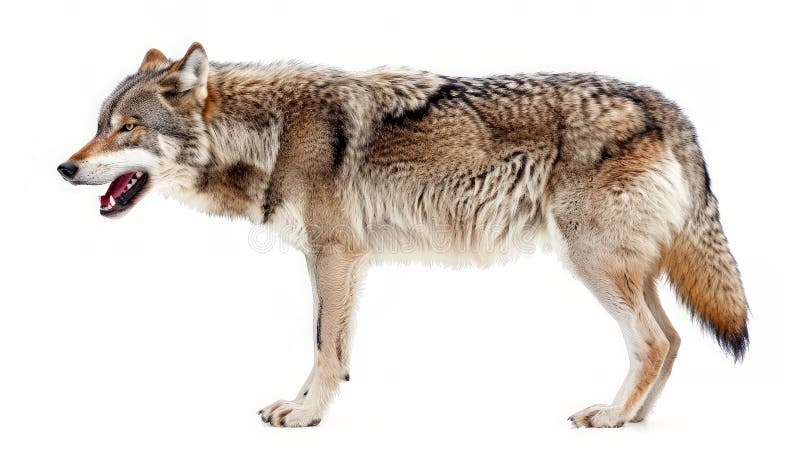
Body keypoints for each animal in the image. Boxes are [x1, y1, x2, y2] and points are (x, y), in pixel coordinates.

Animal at [57, 43, 748, 428]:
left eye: (126, 128)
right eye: (99, 125)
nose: (63, 168)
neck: (272, 134)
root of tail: (664, 105)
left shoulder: (334, 256)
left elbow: (323, 347)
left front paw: (305, 415)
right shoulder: (341, 263)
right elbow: (332, 347)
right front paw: (301, 407)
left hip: (595, 263)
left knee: (652, 343)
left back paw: (611, 416)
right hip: (628, 270)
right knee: (673, 340)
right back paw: (635, 417)